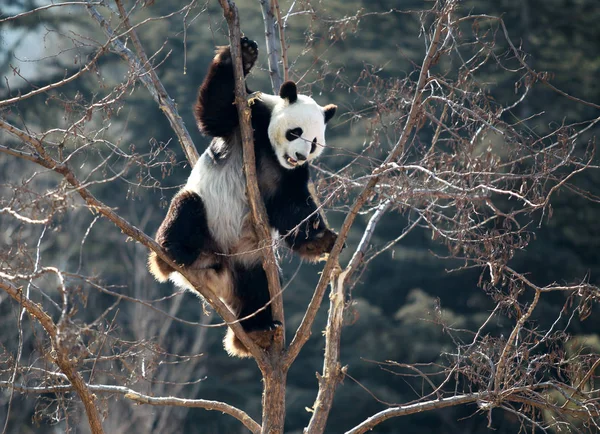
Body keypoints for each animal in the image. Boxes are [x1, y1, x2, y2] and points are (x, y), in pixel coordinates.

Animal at [148, 36, 338, 356]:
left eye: (313, 142)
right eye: (295, 132)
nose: (300, 156)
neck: (272, 152)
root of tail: (212, 270)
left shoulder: (288, 175)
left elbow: (291, 208)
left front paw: (320, 239)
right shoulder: (249, 119)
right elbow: (214, 114)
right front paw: (243, 53)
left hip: (248, 258)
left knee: (258, 286)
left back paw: (255, 332)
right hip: (204, 222)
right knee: (187, 208)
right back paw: (170, 254)